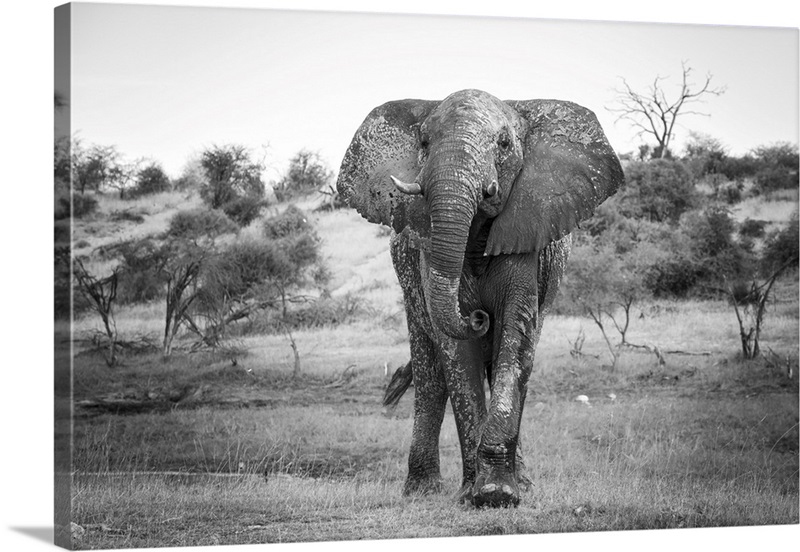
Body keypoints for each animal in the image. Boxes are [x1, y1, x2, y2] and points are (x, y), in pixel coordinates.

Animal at [336, 89, 623, 507]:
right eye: (424, 143)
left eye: (503, 144)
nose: (478, 318)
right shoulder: (425, 255)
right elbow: (457, 357)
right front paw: (474, 492)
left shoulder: (527, 236)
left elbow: (515, 338)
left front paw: (497, 493)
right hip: (407, 287)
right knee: (430, 379)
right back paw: (420, 491)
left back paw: (523, 484)